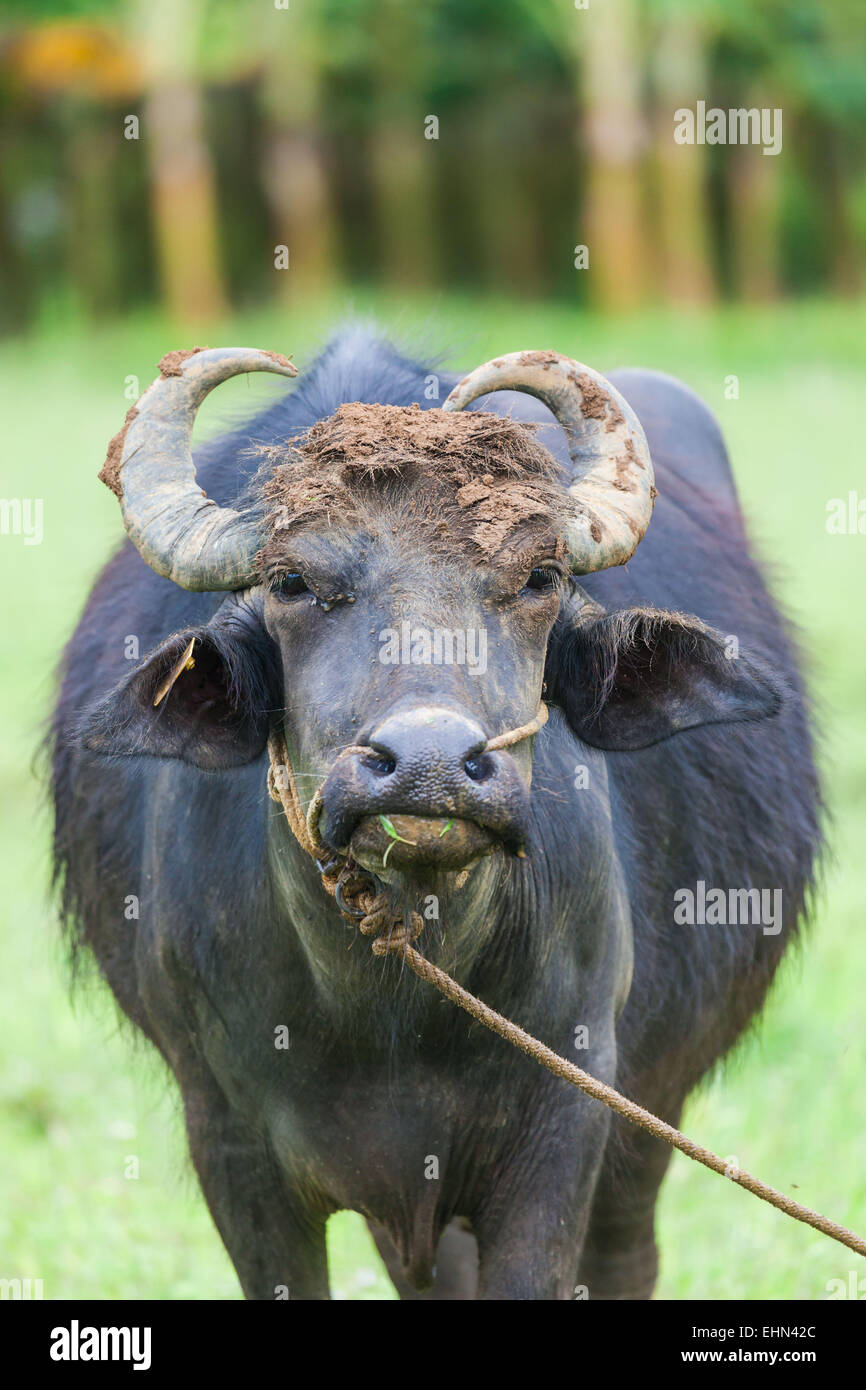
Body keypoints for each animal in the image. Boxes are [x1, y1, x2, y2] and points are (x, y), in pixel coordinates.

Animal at [50, 328, 821, 1300]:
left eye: (539, 576)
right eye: (291, 583)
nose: (427, 765)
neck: (388, 1005)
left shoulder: (569, 1115)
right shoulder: (228, 1141)